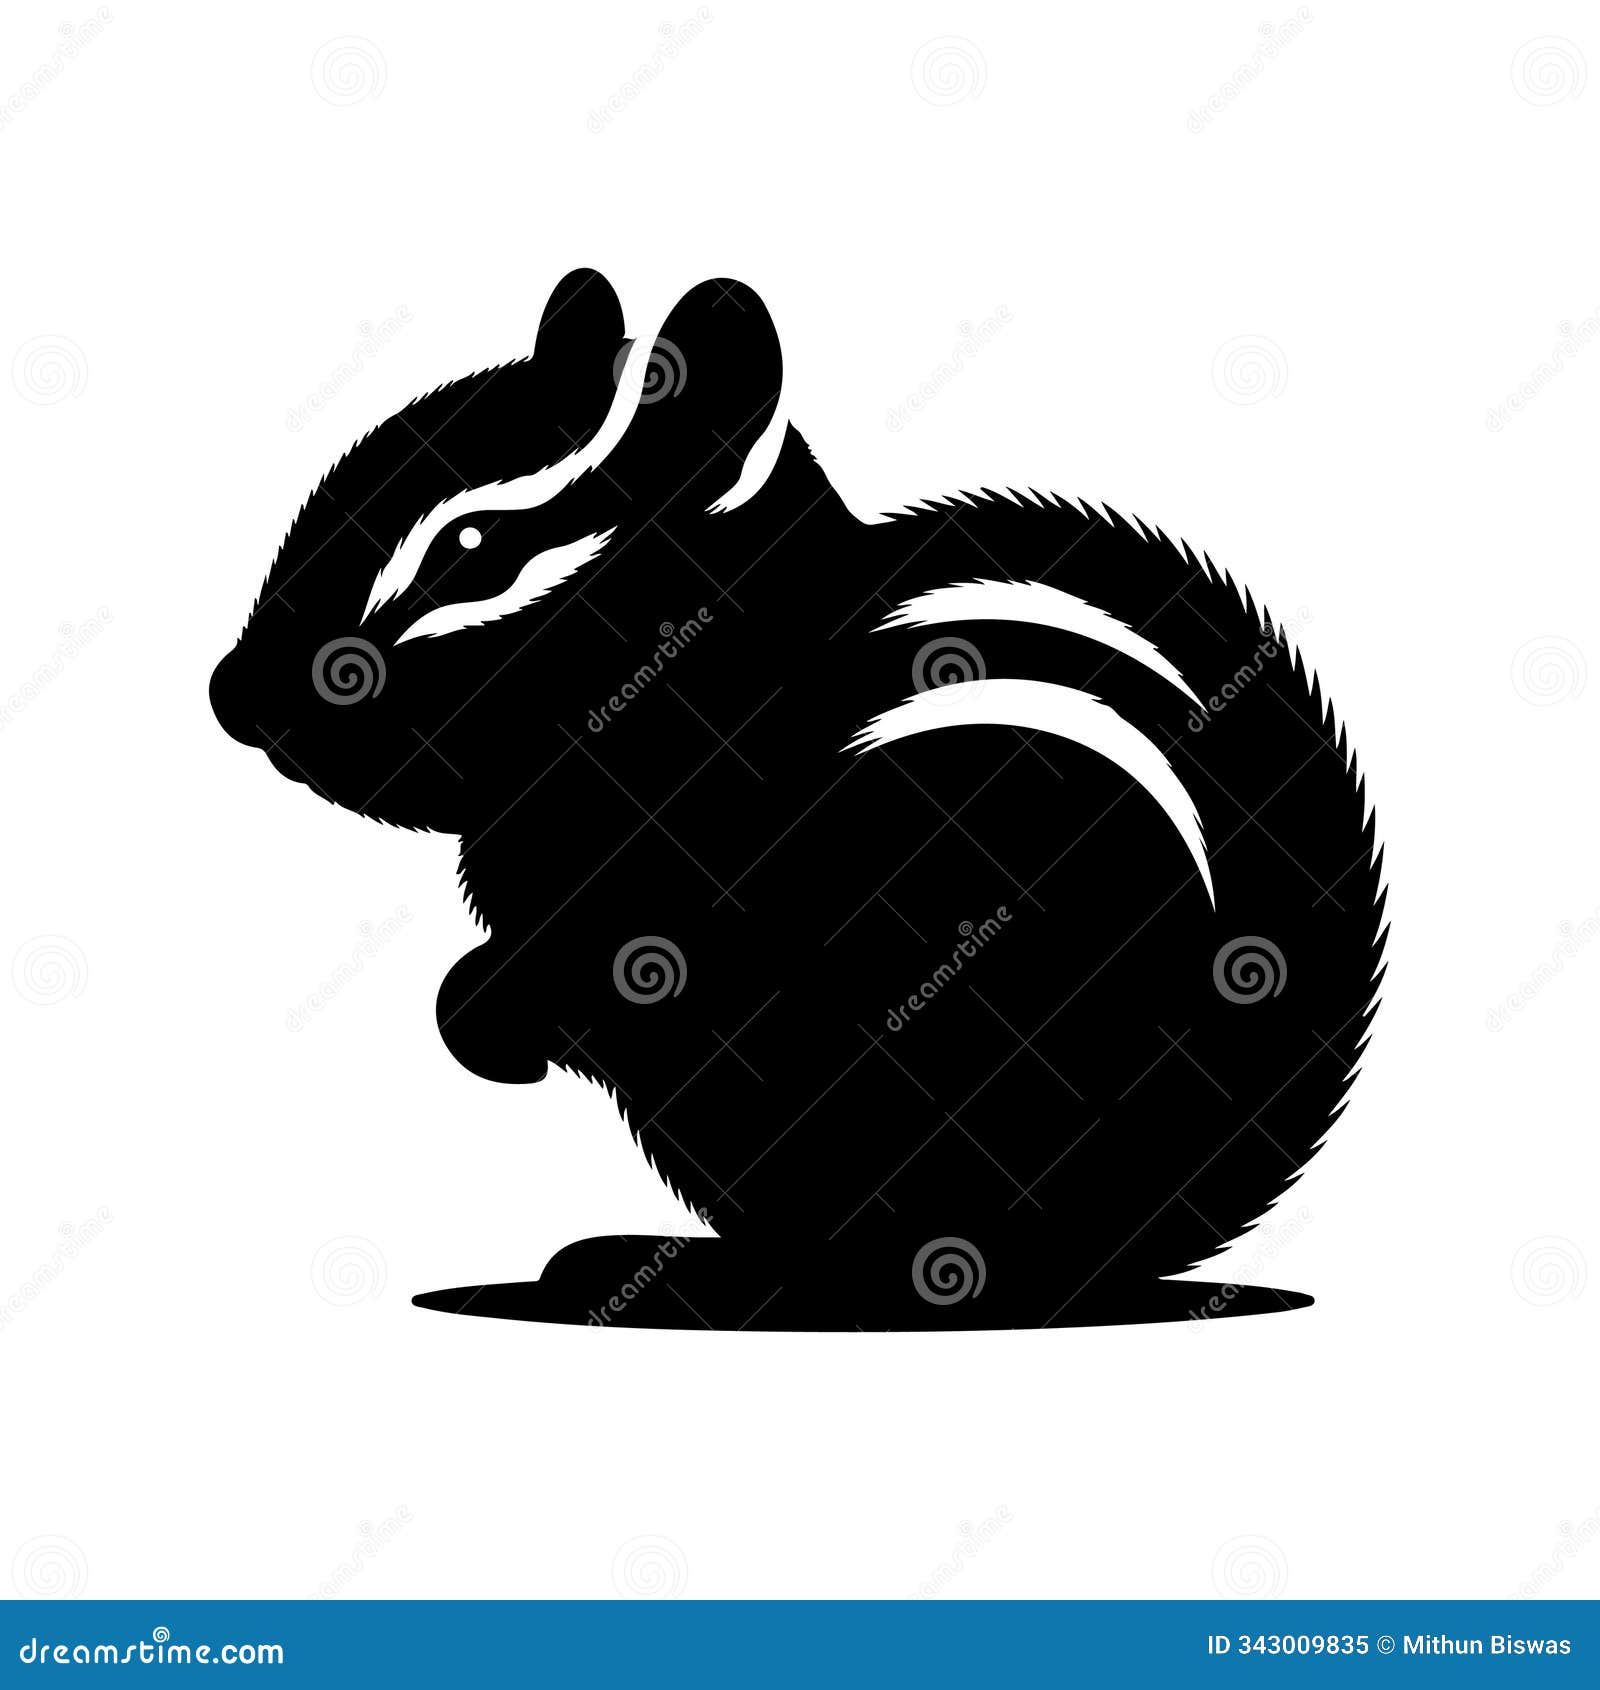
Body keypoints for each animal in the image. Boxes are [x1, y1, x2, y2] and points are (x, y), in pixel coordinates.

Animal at [210, 269, 1386, 1330]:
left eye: (474, 547)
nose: (235, 698)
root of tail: (1139, 1227)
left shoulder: (676, 897)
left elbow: (615, 957)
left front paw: (492, 1022)